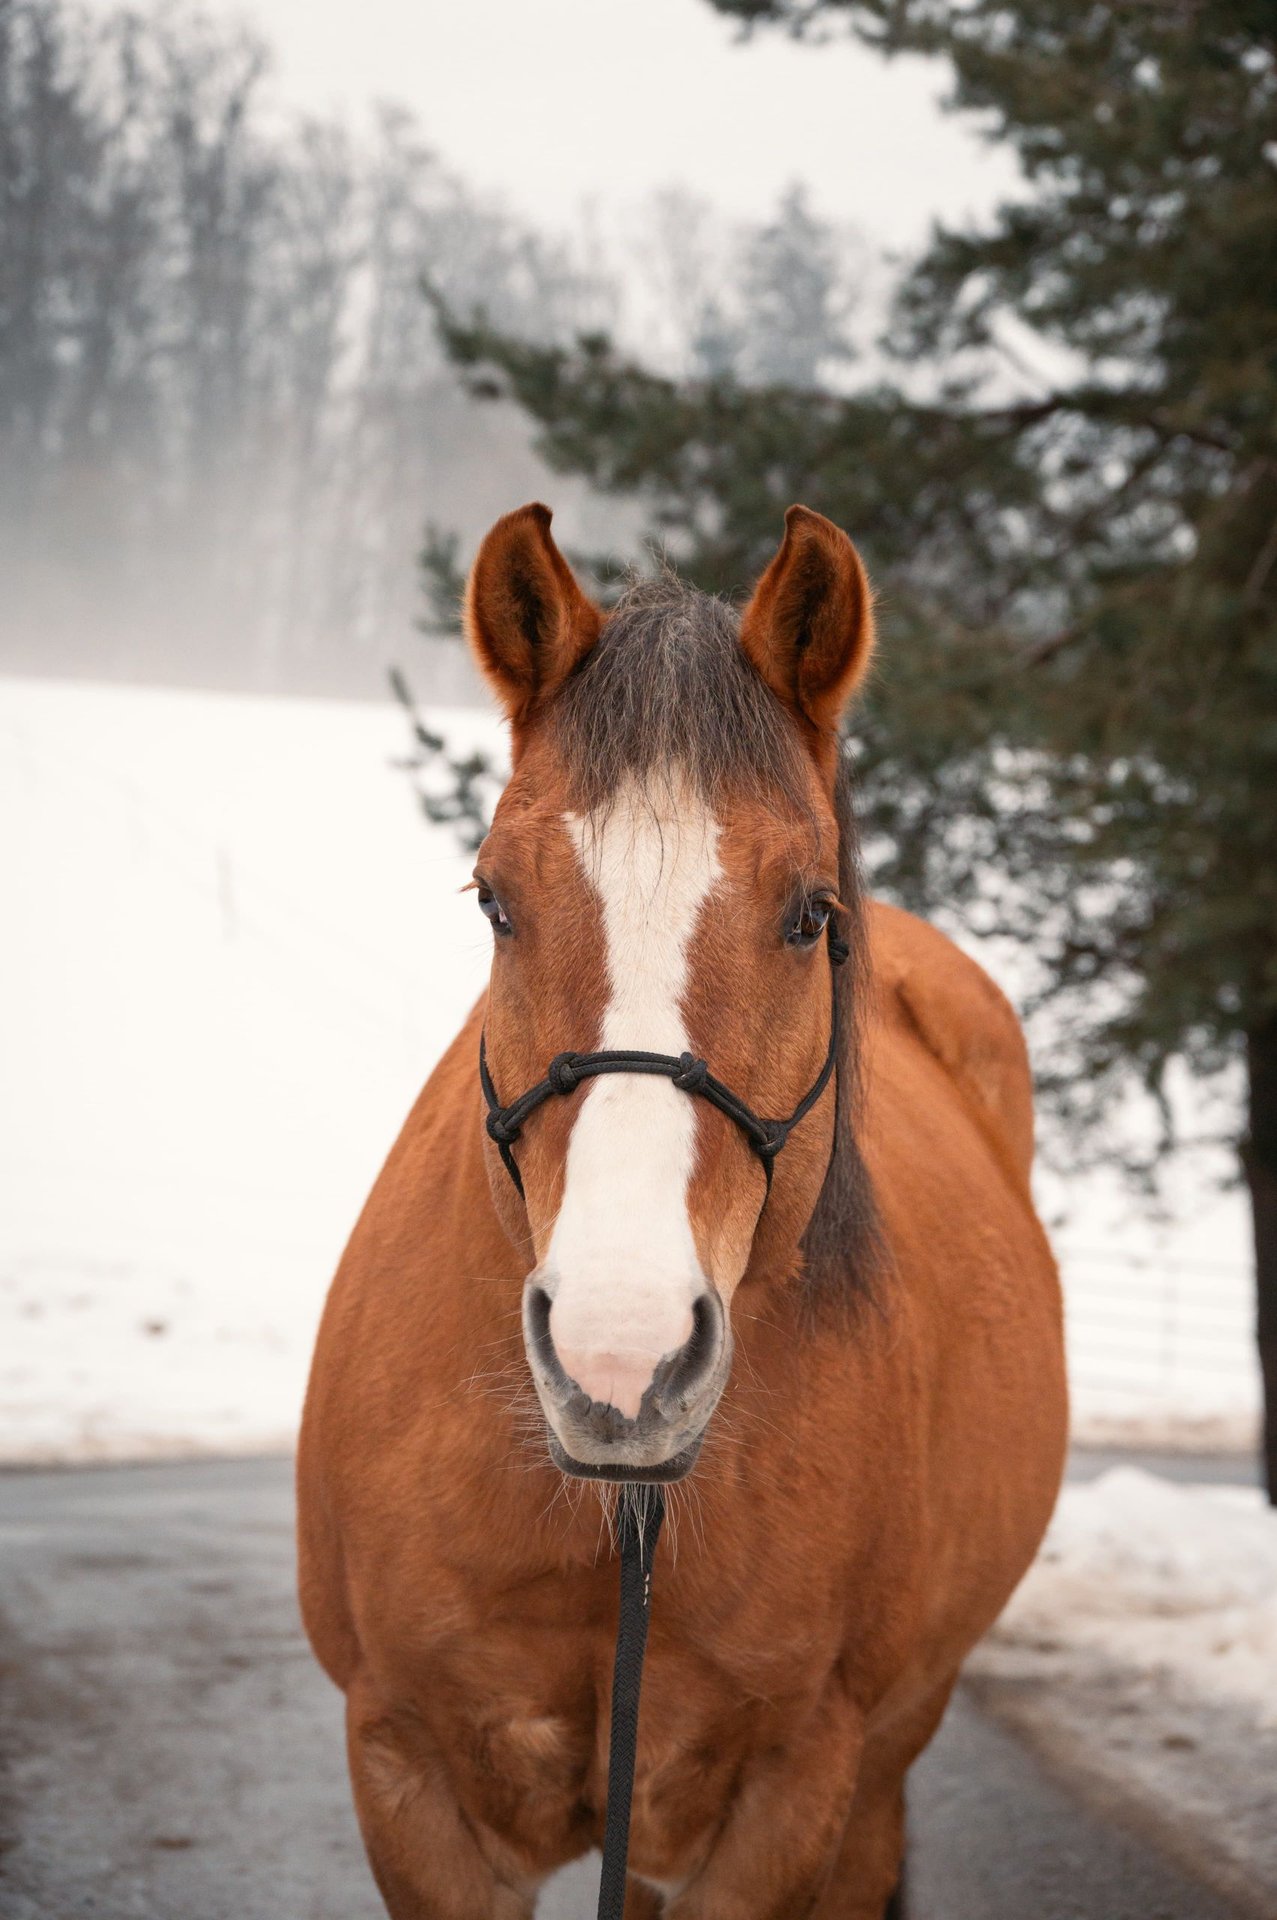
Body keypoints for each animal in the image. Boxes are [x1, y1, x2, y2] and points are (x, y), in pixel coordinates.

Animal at [297, 502, 1068, 1920]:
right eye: (493, 899)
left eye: (809, 913)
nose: (620, 1355)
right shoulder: (409, 1779)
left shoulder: (782, 1804)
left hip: (872, 1781)